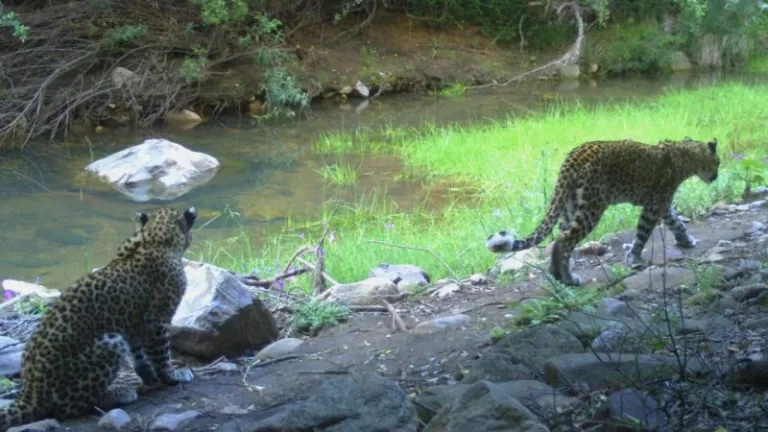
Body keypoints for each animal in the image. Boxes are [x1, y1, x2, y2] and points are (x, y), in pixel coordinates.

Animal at [0, 206, 198, 430]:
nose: (193, 236)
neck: (154, 239)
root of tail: (30, 394)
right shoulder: (157, 321)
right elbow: (162, 354)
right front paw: (173, 376)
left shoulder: (133, 324)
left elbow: (139, 355)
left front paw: (149, 376)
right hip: (110, 342)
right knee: (70, 407)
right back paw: (119, 394)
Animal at [486, 137, 720, 286]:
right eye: (717, 162)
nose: (717, 176)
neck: (686, 154)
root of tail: (573, 157)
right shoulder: (655, 205)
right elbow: (643, 233)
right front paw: (634, 259)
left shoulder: (661, 204)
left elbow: (675, 221)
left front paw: (685, 240)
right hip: (592, 208)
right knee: (564, 241)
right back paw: (568, 279)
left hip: (570, 207)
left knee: (560, 238)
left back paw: (557, 275)